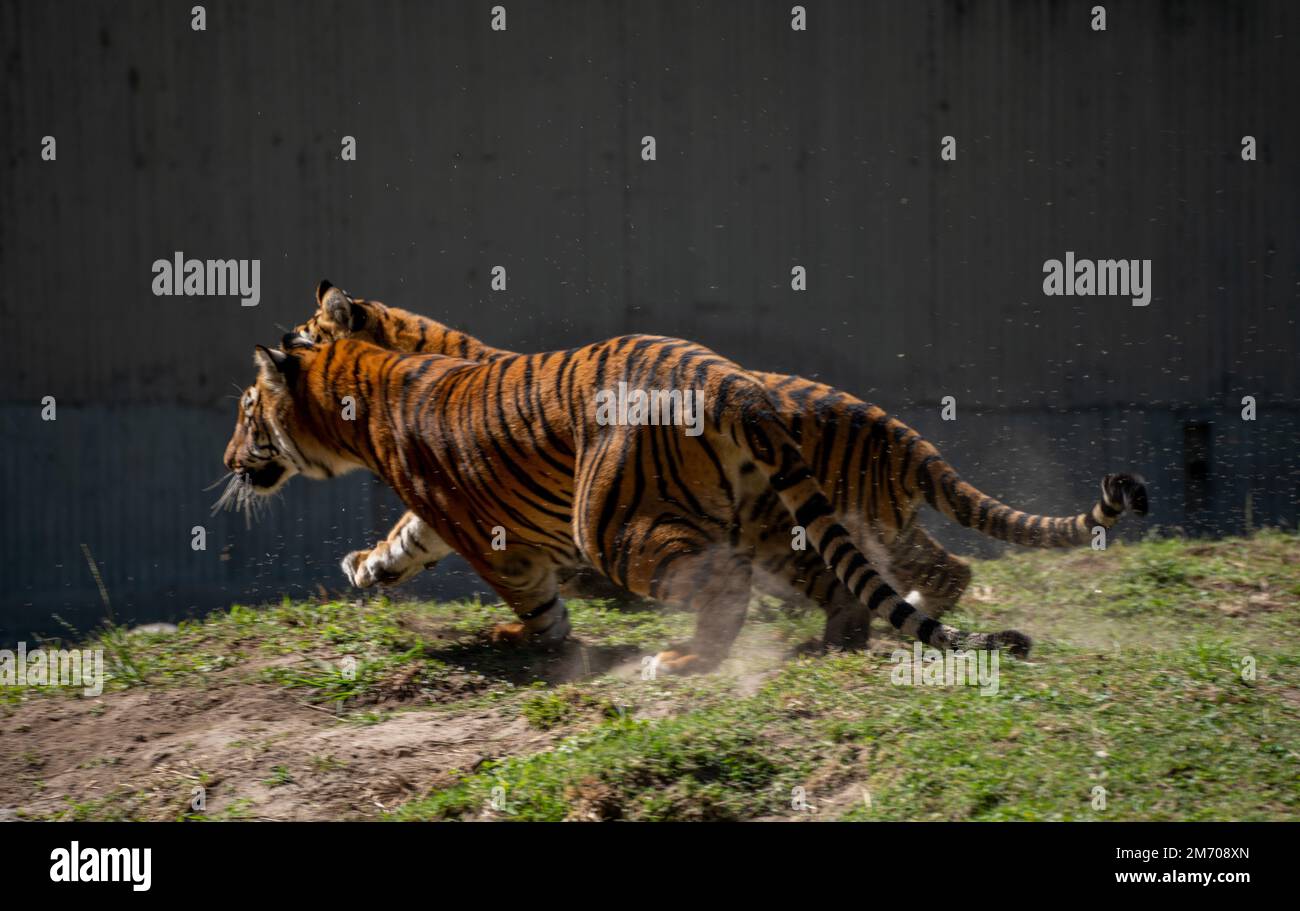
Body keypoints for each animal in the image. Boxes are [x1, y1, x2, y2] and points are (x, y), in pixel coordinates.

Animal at [220, 330, 1034, 673]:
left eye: (246, 411)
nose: (227, 461)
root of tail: (724, 375)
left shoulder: (479, 527)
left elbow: (529, 596)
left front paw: (546, 643)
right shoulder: (444, 511)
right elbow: (405, 539)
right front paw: (368, 566)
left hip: (610, 522)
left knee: (725, 581)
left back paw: (684, 661)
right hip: (770, 513)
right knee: (838, 581)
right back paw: (831, 641)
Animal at [292, 281, 1148, 620]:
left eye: (298, 341)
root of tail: (896, 427)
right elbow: (409, 534)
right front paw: (368, 567)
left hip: (841, 518)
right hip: (881, 524)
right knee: (947, 568)